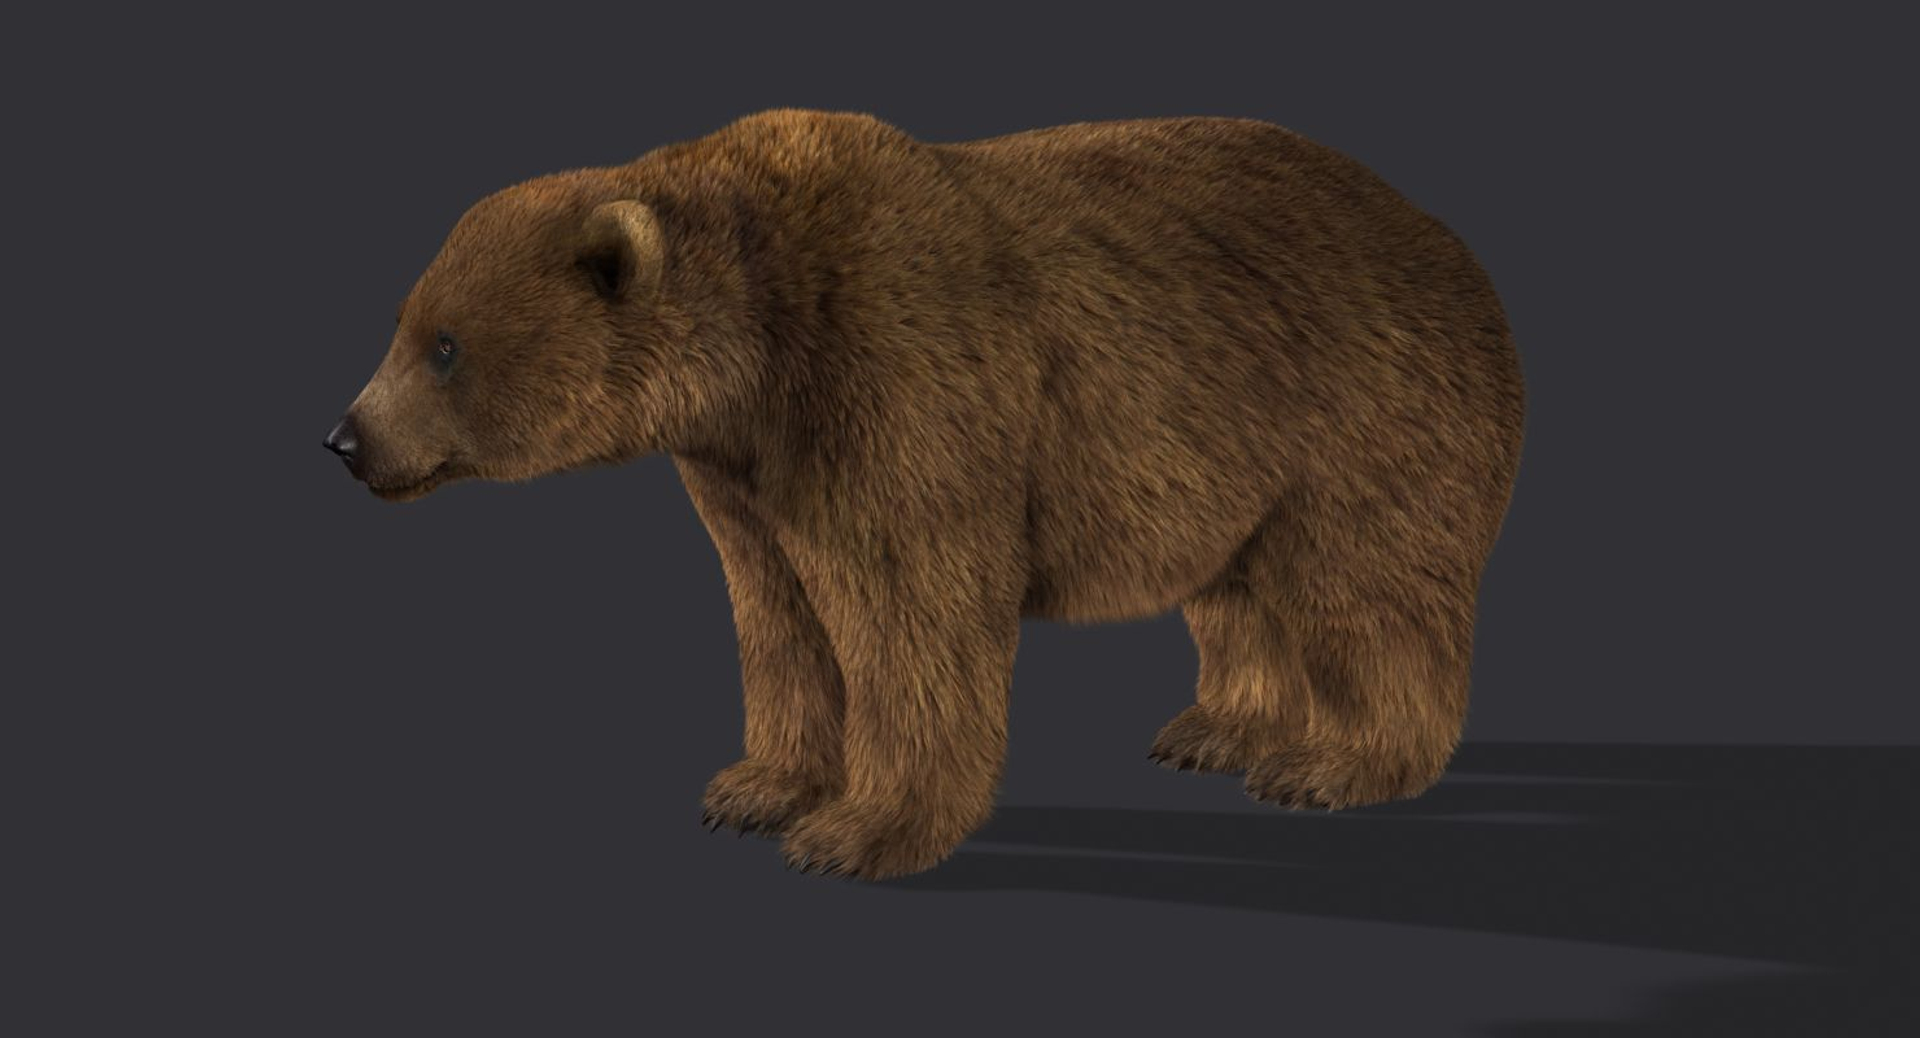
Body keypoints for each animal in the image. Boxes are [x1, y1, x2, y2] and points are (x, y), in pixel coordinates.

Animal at [324, 109, 1525, 880]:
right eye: (406, 319)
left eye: (443, 346)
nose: (344, 437)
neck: (757, 354)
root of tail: (1458, 252)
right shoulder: (748, 477)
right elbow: (781, 616)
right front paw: (757, 785)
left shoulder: (899, 382)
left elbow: (913, 613)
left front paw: (858, 830)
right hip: (1234, 456)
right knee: (1240, 587)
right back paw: (1218, 729)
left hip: (1356, 410)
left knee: (1366, 586)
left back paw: (1334, 762)